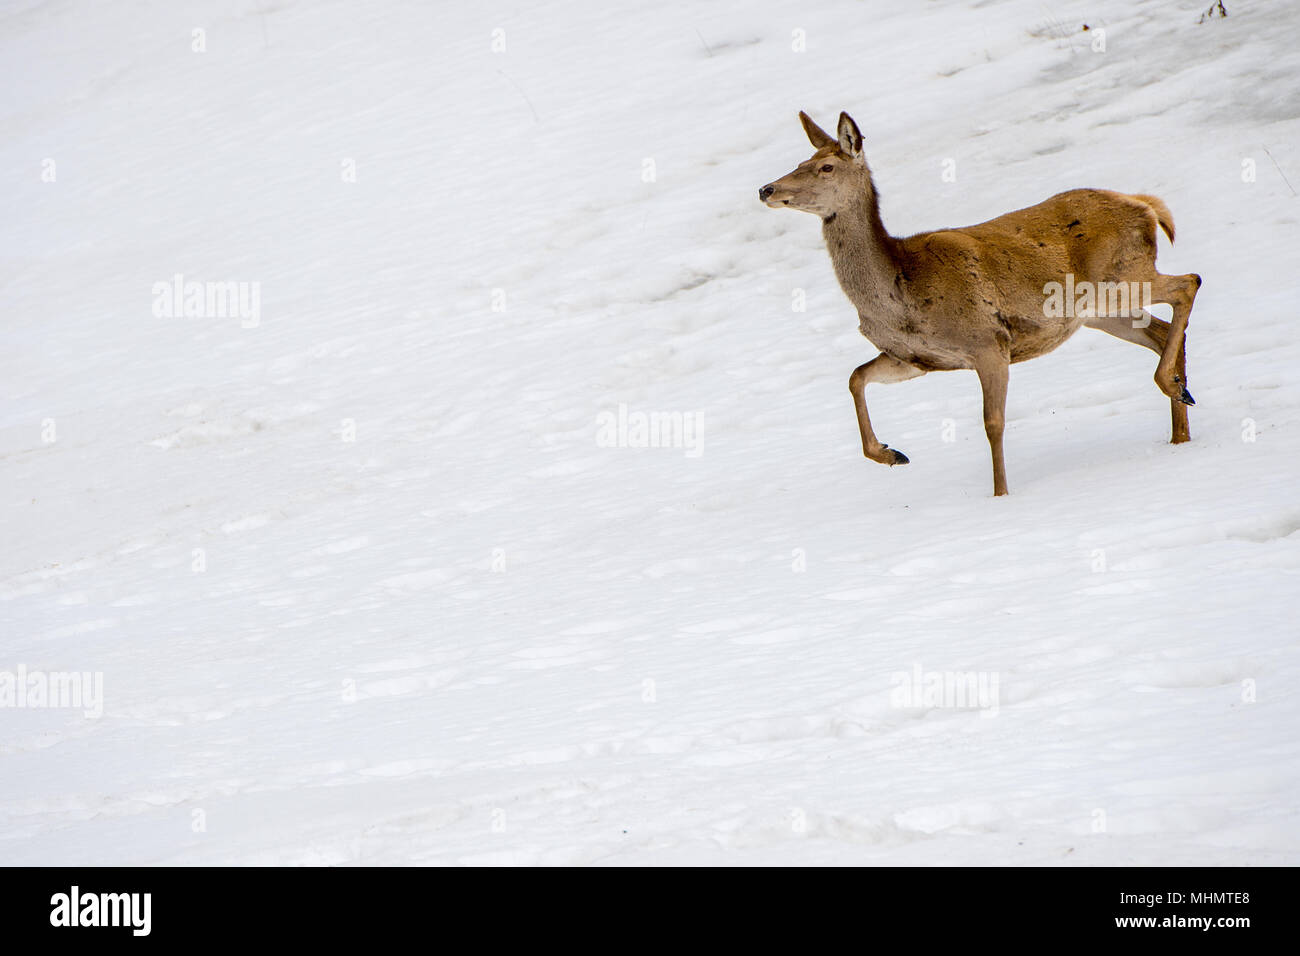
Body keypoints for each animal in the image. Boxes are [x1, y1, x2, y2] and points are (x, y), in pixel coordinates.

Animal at [759, 111, 1201, 496]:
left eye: (826, 168)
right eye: (801, 161)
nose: (767, 189)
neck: (899, 296)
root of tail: (1146, 206)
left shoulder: (989, 342)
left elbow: (993, 423)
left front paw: (1000, 496)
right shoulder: (916, 358)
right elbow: (855, 377)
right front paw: (891, 454)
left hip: (1122, 277)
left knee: (1188, 284)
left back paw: (1172, 388)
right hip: (1102, 311)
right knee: (1162, 330)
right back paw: (1180, 426)